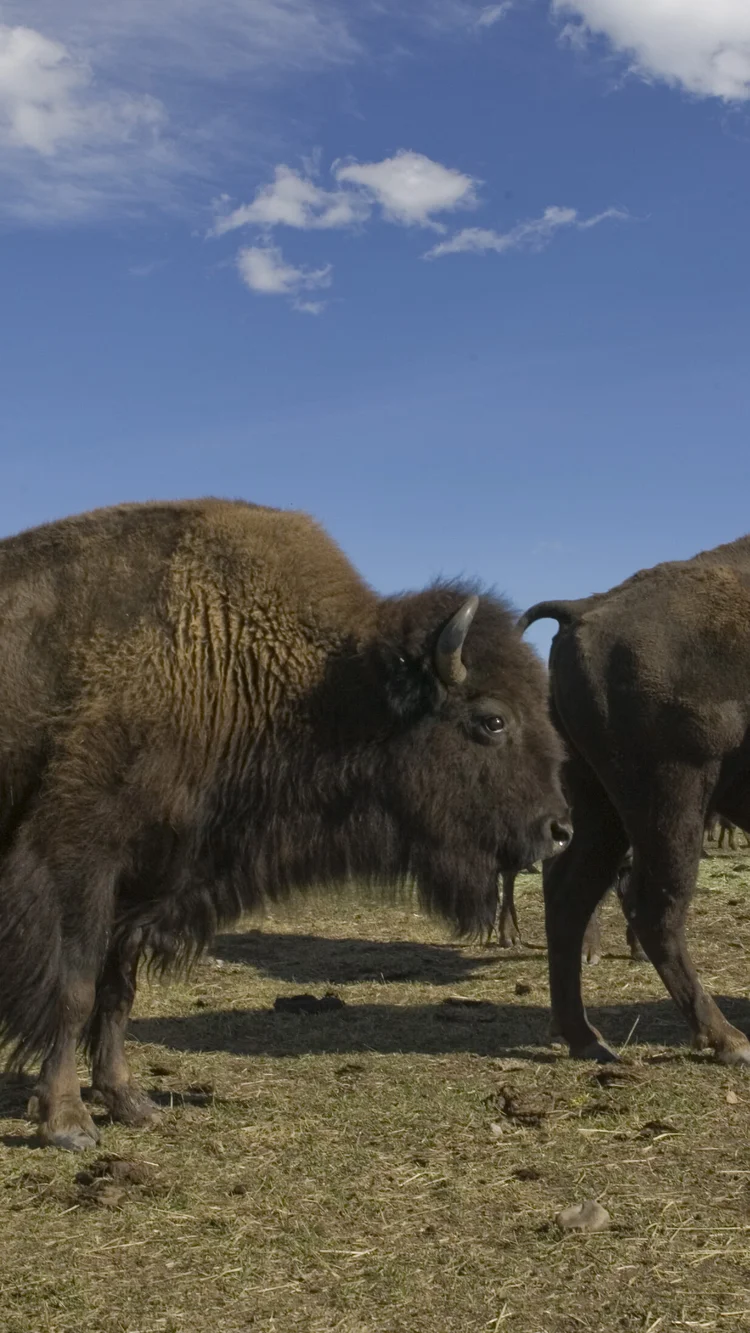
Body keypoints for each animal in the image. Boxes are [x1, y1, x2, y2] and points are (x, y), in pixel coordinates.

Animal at [0, 498, 570, 1149]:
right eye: (492, 719)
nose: (559, 830)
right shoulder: (78, 860)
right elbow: (74, 987)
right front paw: (66, 1121)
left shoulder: (150, 880)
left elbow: (118, 990)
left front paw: (129, 1101)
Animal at [520, 533, 750, 1065]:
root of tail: (586, 607)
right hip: (673, 795)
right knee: (654, 907)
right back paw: (726, 1040)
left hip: (600, 806)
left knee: (570, 895)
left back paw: (587, 1038)